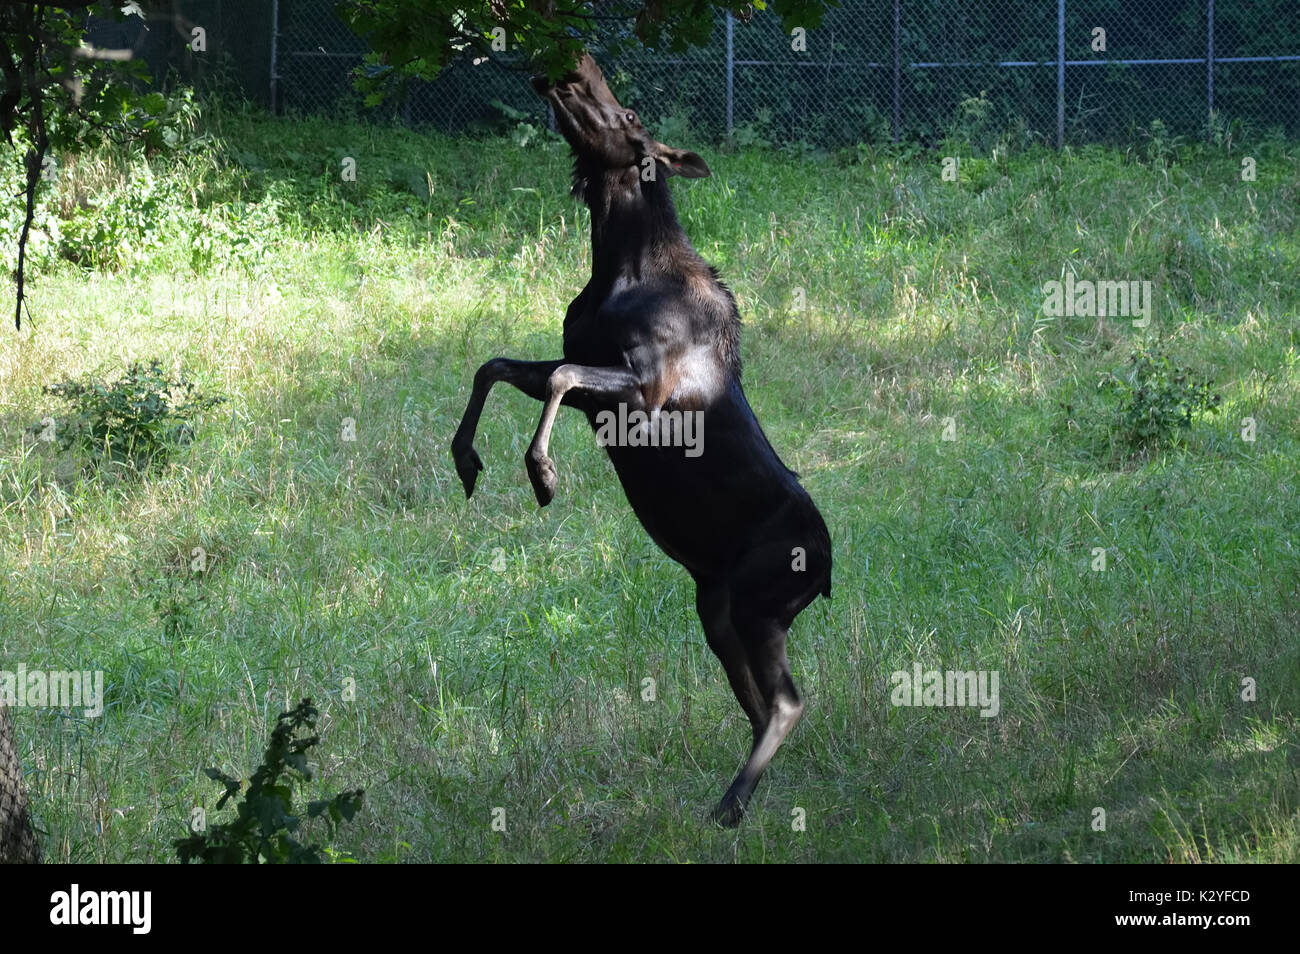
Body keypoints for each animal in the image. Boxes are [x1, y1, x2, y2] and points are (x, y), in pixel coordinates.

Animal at [451, 54, 831, 826]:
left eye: (627, 116)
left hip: (759, 601)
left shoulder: (646, 391)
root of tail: (831, 572)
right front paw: (465, 456)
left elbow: (557, 374)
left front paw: (541, 472)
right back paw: (735, 800)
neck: (617, 264)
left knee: (787, 702)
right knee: (757, 706)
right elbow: (498, 365)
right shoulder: (588, 376)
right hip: (716, 606)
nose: (573, 65)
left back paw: (729, 806)